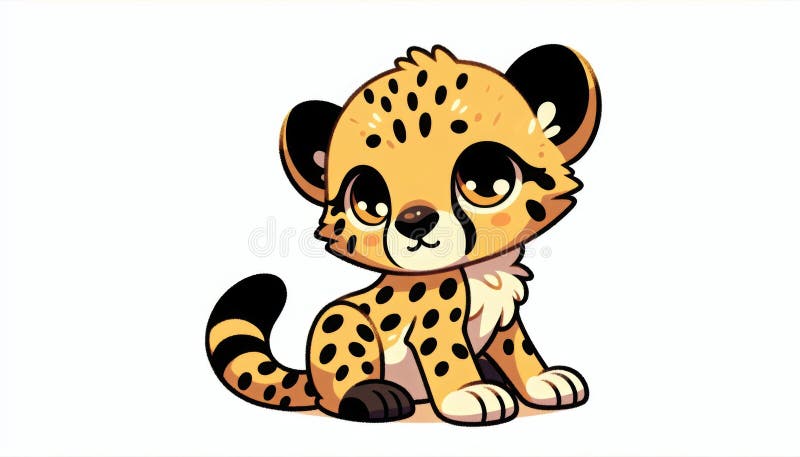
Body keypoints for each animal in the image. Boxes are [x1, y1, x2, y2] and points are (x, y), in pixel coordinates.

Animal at [205, 44, 601, 425]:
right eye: (369, 201)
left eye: (487, 180)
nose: (415, 221)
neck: (482, 273)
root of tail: (312, 381)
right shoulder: (433, 325)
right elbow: (449, 357)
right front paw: (468, 394)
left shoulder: (505, 316)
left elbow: (519, 348)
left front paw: (539, 380)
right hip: (343, 320)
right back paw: (370, 395)